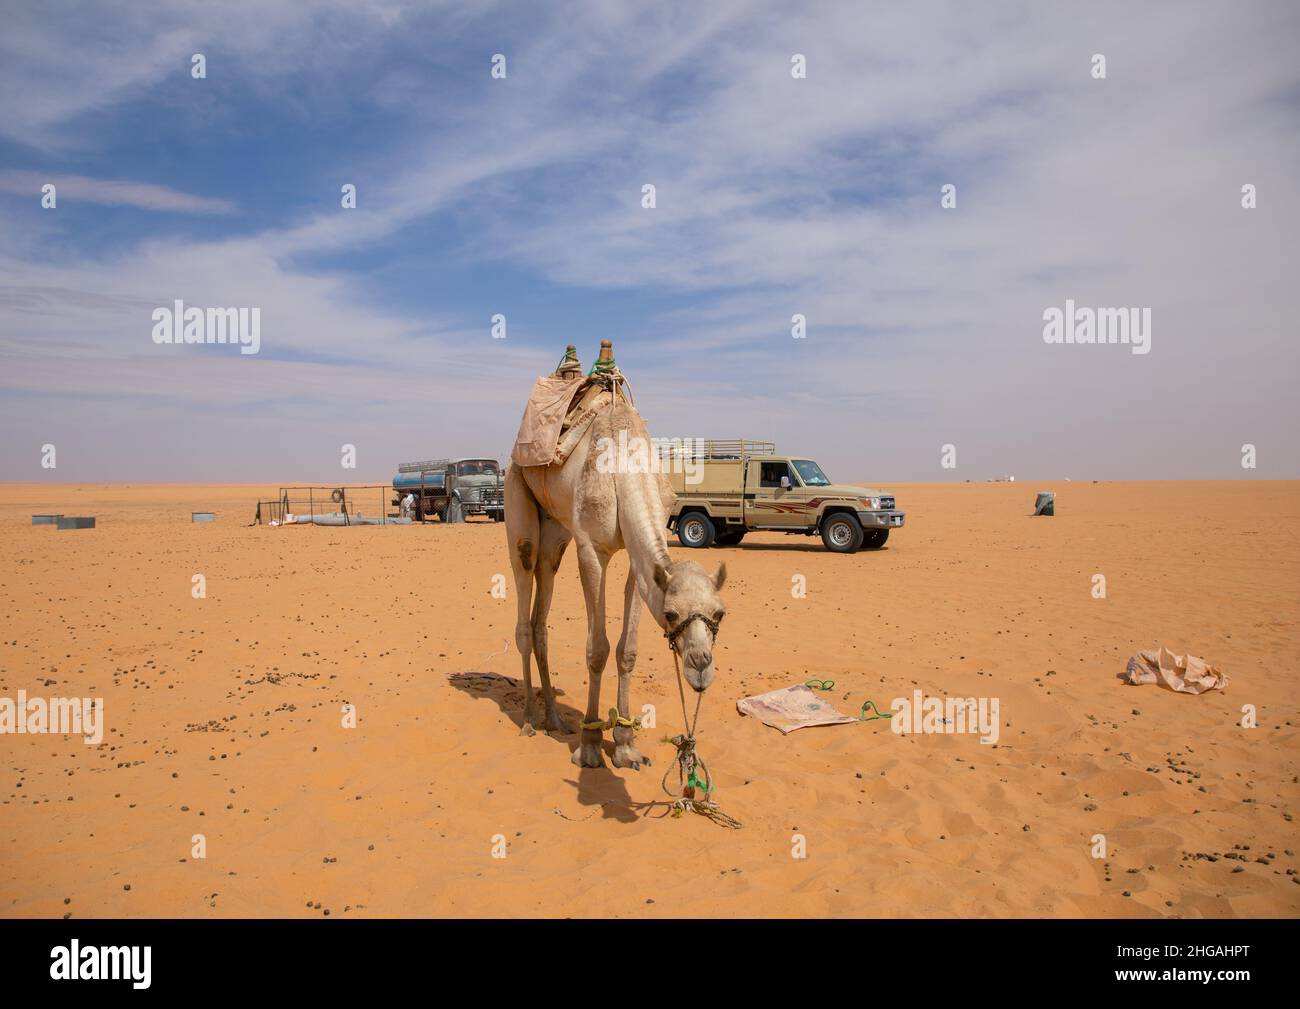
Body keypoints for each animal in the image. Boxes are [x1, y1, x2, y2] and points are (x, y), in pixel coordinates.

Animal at [505, 341, 728, 769]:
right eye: (671, 614)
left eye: (720, 613)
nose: (700, 668)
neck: (625, 464)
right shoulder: (592, 550)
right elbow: (598, 649)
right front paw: (591, 746)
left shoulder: (639, 566)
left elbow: (627, 650)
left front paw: (626, 745)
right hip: (517, 497)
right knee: (524, 598)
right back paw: (527, 719)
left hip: (556, 532)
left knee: (543, 604)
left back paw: (555, 718)